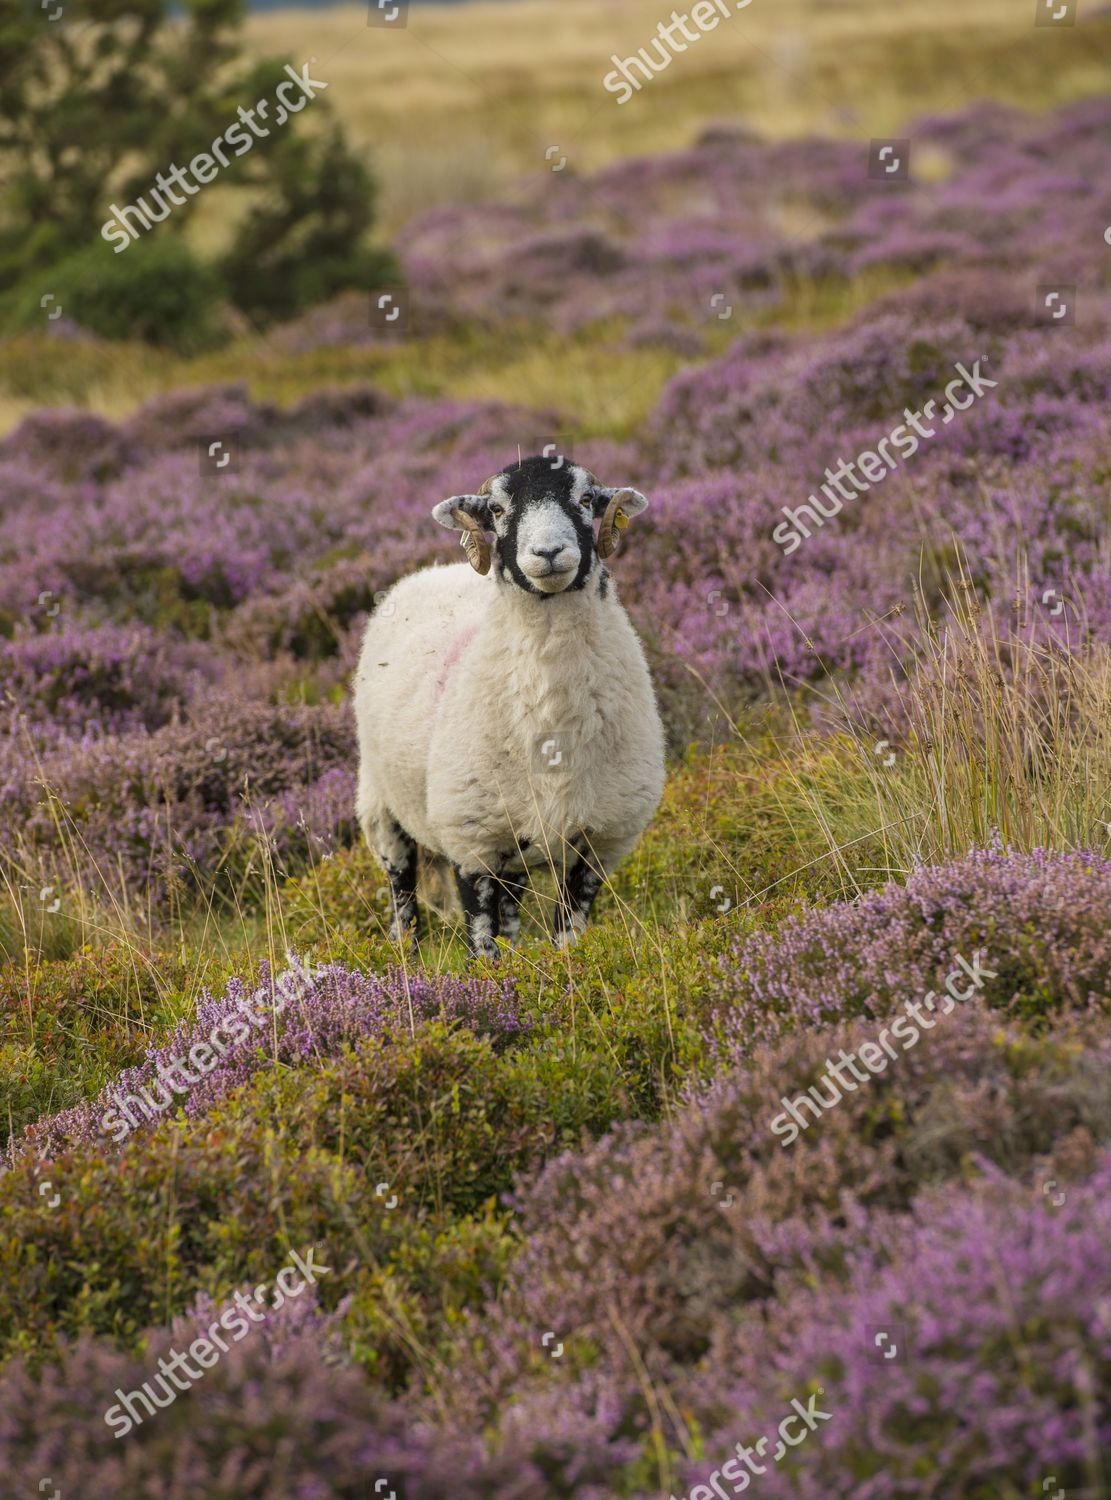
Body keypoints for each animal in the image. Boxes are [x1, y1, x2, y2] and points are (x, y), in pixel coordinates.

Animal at [353, 455, 665, 959]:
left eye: (585, 499)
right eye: (497, 510)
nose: (549, 552)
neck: (554, 721)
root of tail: (431, 571)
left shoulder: (598, 846)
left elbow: (567, 937)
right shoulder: (471, 844)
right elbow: (482, 946)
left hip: (516, 847)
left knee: (511, 909)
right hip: (383, 807)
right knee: (402, 894)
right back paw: (406, 955)